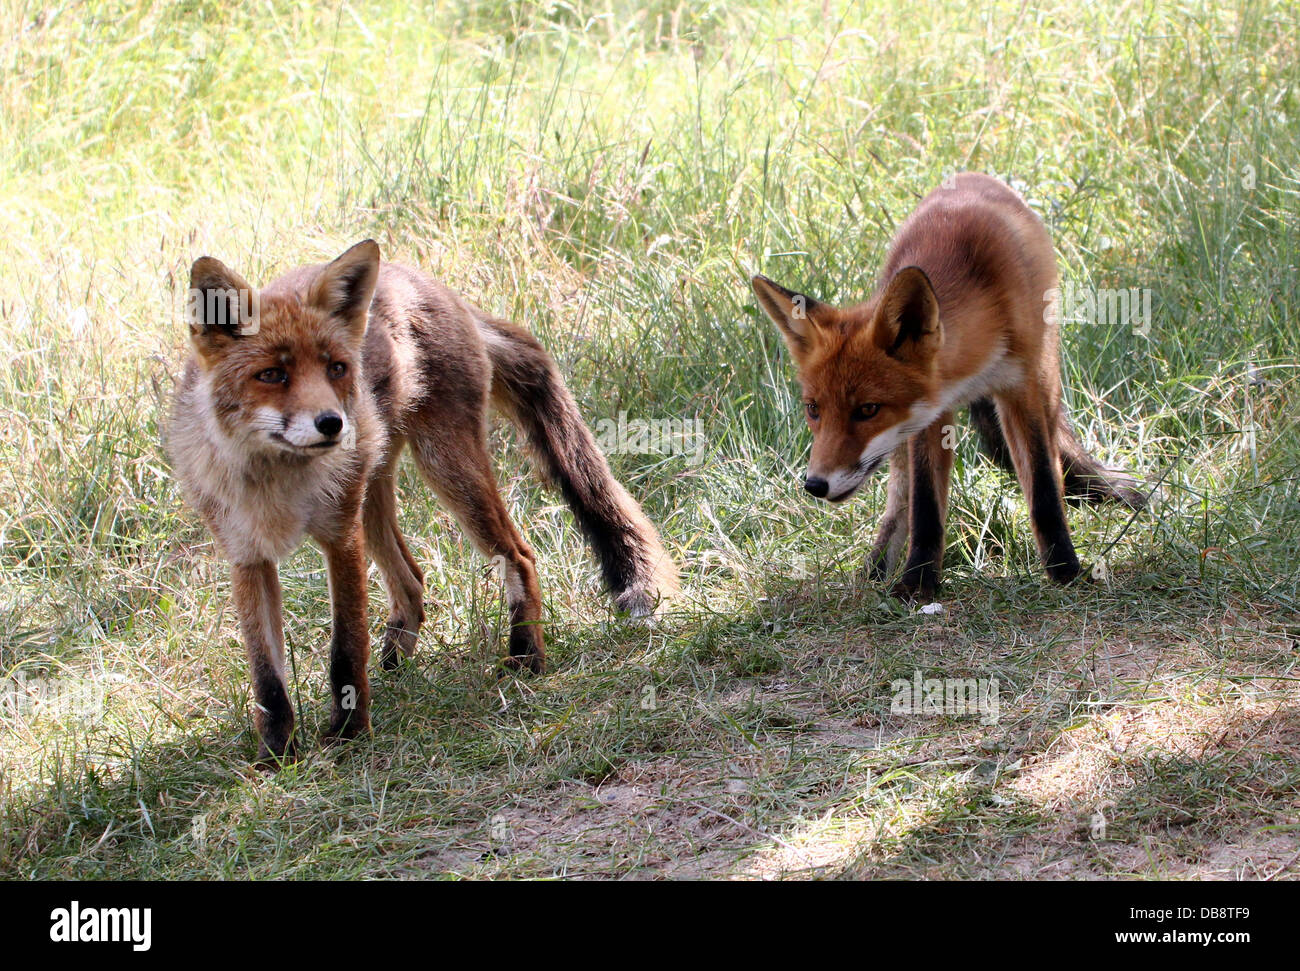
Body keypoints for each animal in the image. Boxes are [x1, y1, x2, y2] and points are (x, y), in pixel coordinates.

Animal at [169, 239, 678, 763]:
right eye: (272, 374)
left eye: (336, 368)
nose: (333, 424)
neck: (278, 482)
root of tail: (428, 283)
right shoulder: (247, 555)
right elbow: (266, 678)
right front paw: (276, 757)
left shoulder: (339, 537)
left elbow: (346, 649)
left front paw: (349, 736)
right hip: (373, 496)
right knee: (412, 581)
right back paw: (396, 666)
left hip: (443, 470)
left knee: (519, 554)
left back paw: (524, 657)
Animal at [752, 172, 1145, 601]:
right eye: (813, 409)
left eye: (867, 409)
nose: (814, 485)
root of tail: (973, 175)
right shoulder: (930, 413)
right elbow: (925, 507)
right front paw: (918, 582)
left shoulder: (1019, 388)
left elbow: (1042, 488)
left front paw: (1066, 572)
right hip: (903, 439)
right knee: (899, 503)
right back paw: (874, 572)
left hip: (1046, 379)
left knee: (1056, 460)